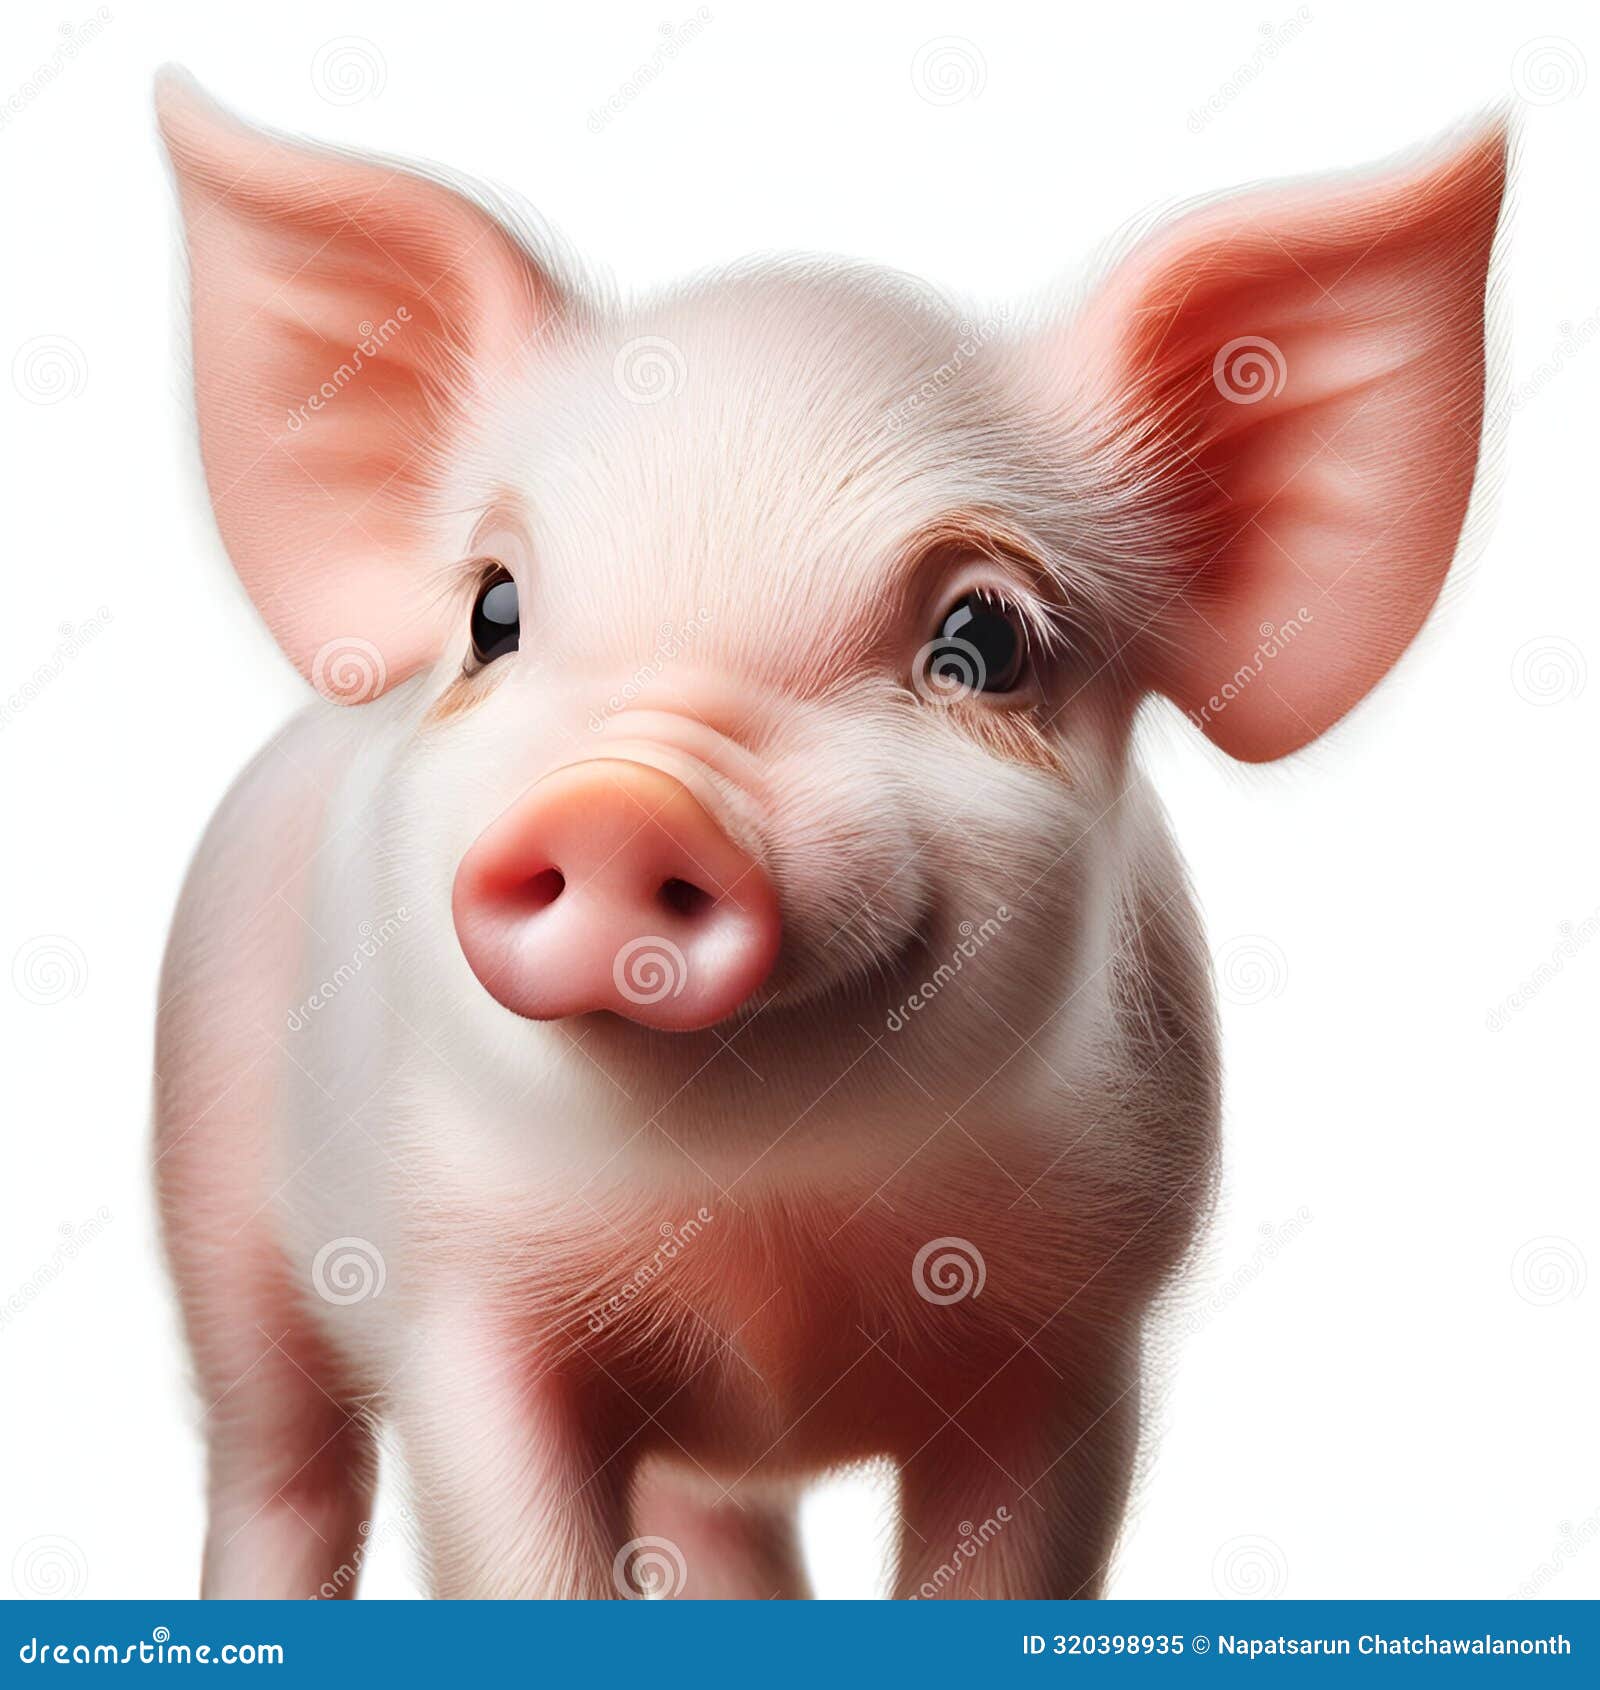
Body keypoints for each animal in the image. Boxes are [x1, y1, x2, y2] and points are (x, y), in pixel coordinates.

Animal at [151, 67, 1508, 1600]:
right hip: (208, 1192)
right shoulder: (459, 1294)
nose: (624, 793)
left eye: (983, 642)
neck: (768, 1225)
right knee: (279, 1458)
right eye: (495, 611)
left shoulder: (1079, 1333)